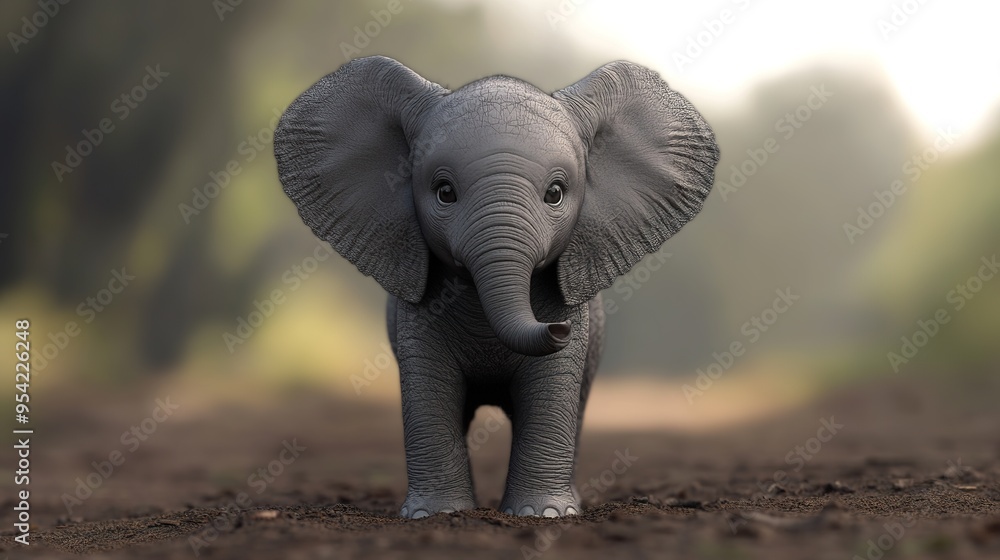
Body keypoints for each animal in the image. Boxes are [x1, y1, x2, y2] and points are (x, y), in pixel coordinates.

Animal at [273, 56, 719, 518]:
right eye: (444, 193)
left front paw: (544, 515)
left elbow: (550, 389)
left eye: (555, 194)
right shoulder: (417, 316)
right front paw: (437, 514)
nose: (557, 329)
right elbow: (430, 390)